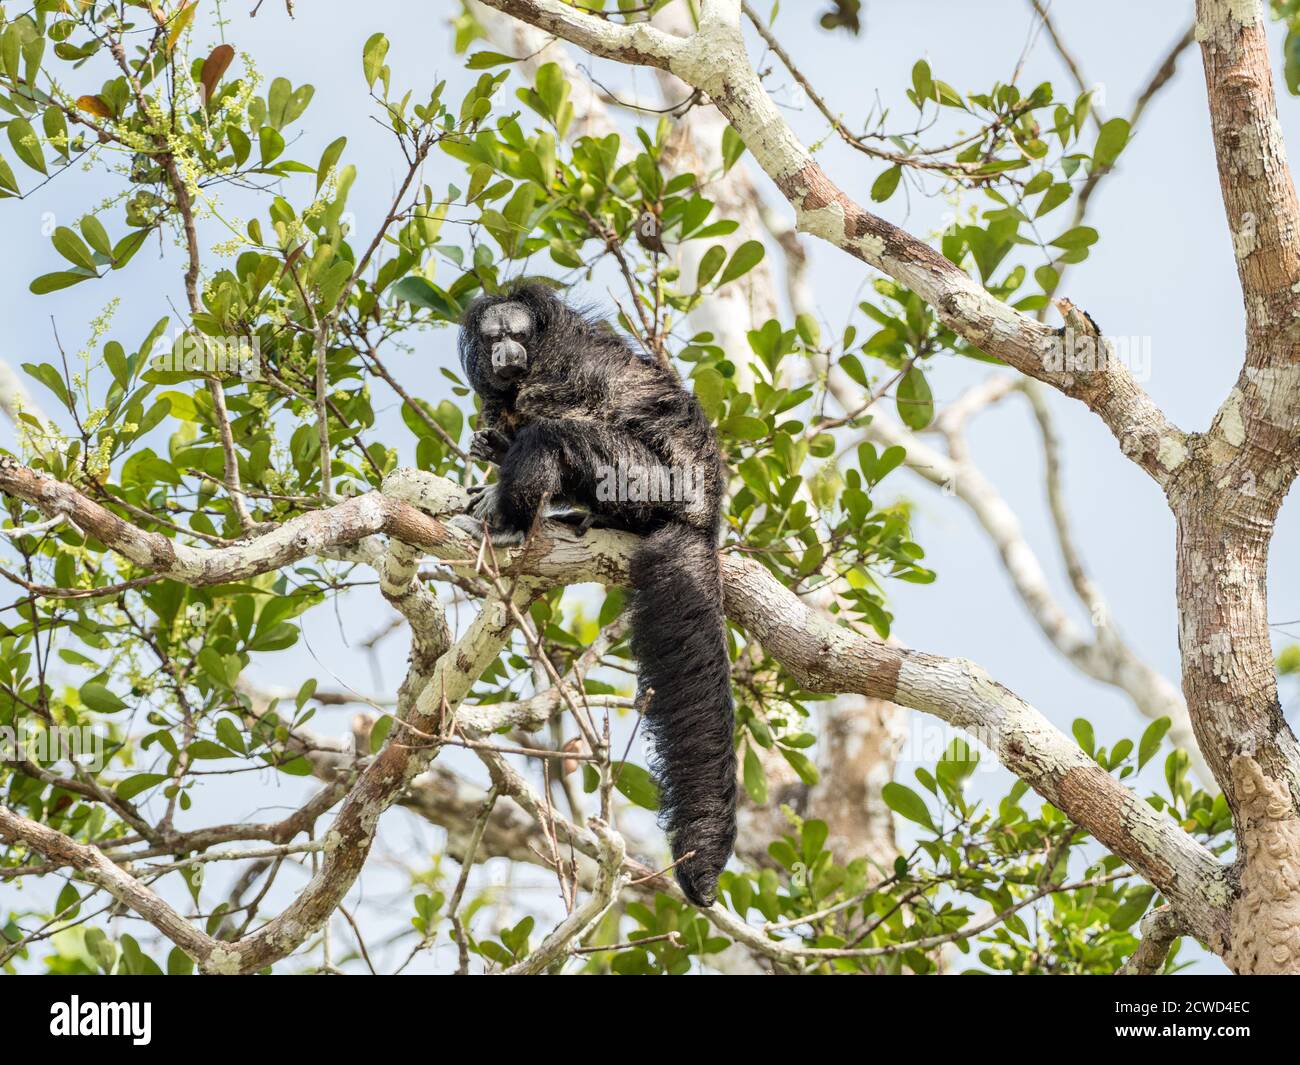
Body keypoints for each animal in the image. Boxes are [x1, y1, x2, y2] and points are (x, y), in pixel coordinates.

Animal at [455, 281, 736, 907]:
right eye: (493, 337)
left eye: (516, 334)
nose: (506, 352)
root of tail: (706, 517)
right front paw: (491, 442)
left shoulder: (565, 369)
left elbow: (561, 412)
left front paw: (506, 466)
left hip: (649, 481)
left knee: (559, 437)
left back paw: (513, 513)